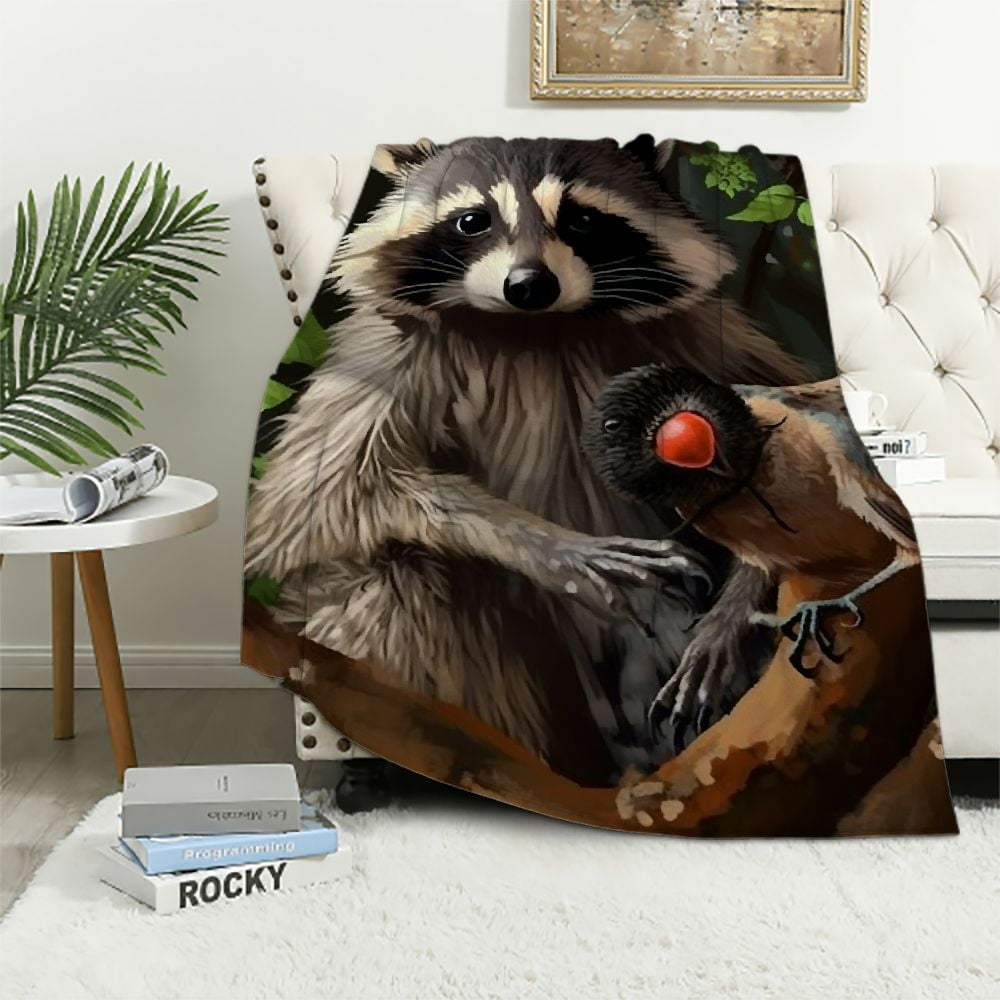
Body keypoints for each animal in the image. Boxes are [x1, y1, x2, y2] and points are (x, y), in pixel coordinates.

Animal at [245, 135, 808, 782]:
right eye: (473, 220)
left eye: (582, 219)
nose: (530, 285)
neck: (536, 330)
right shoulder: (391, 349)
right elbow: (320, 497)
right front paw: (558, 548)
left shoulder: (699, 336)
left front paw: (733, 611)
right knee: (400, 573)